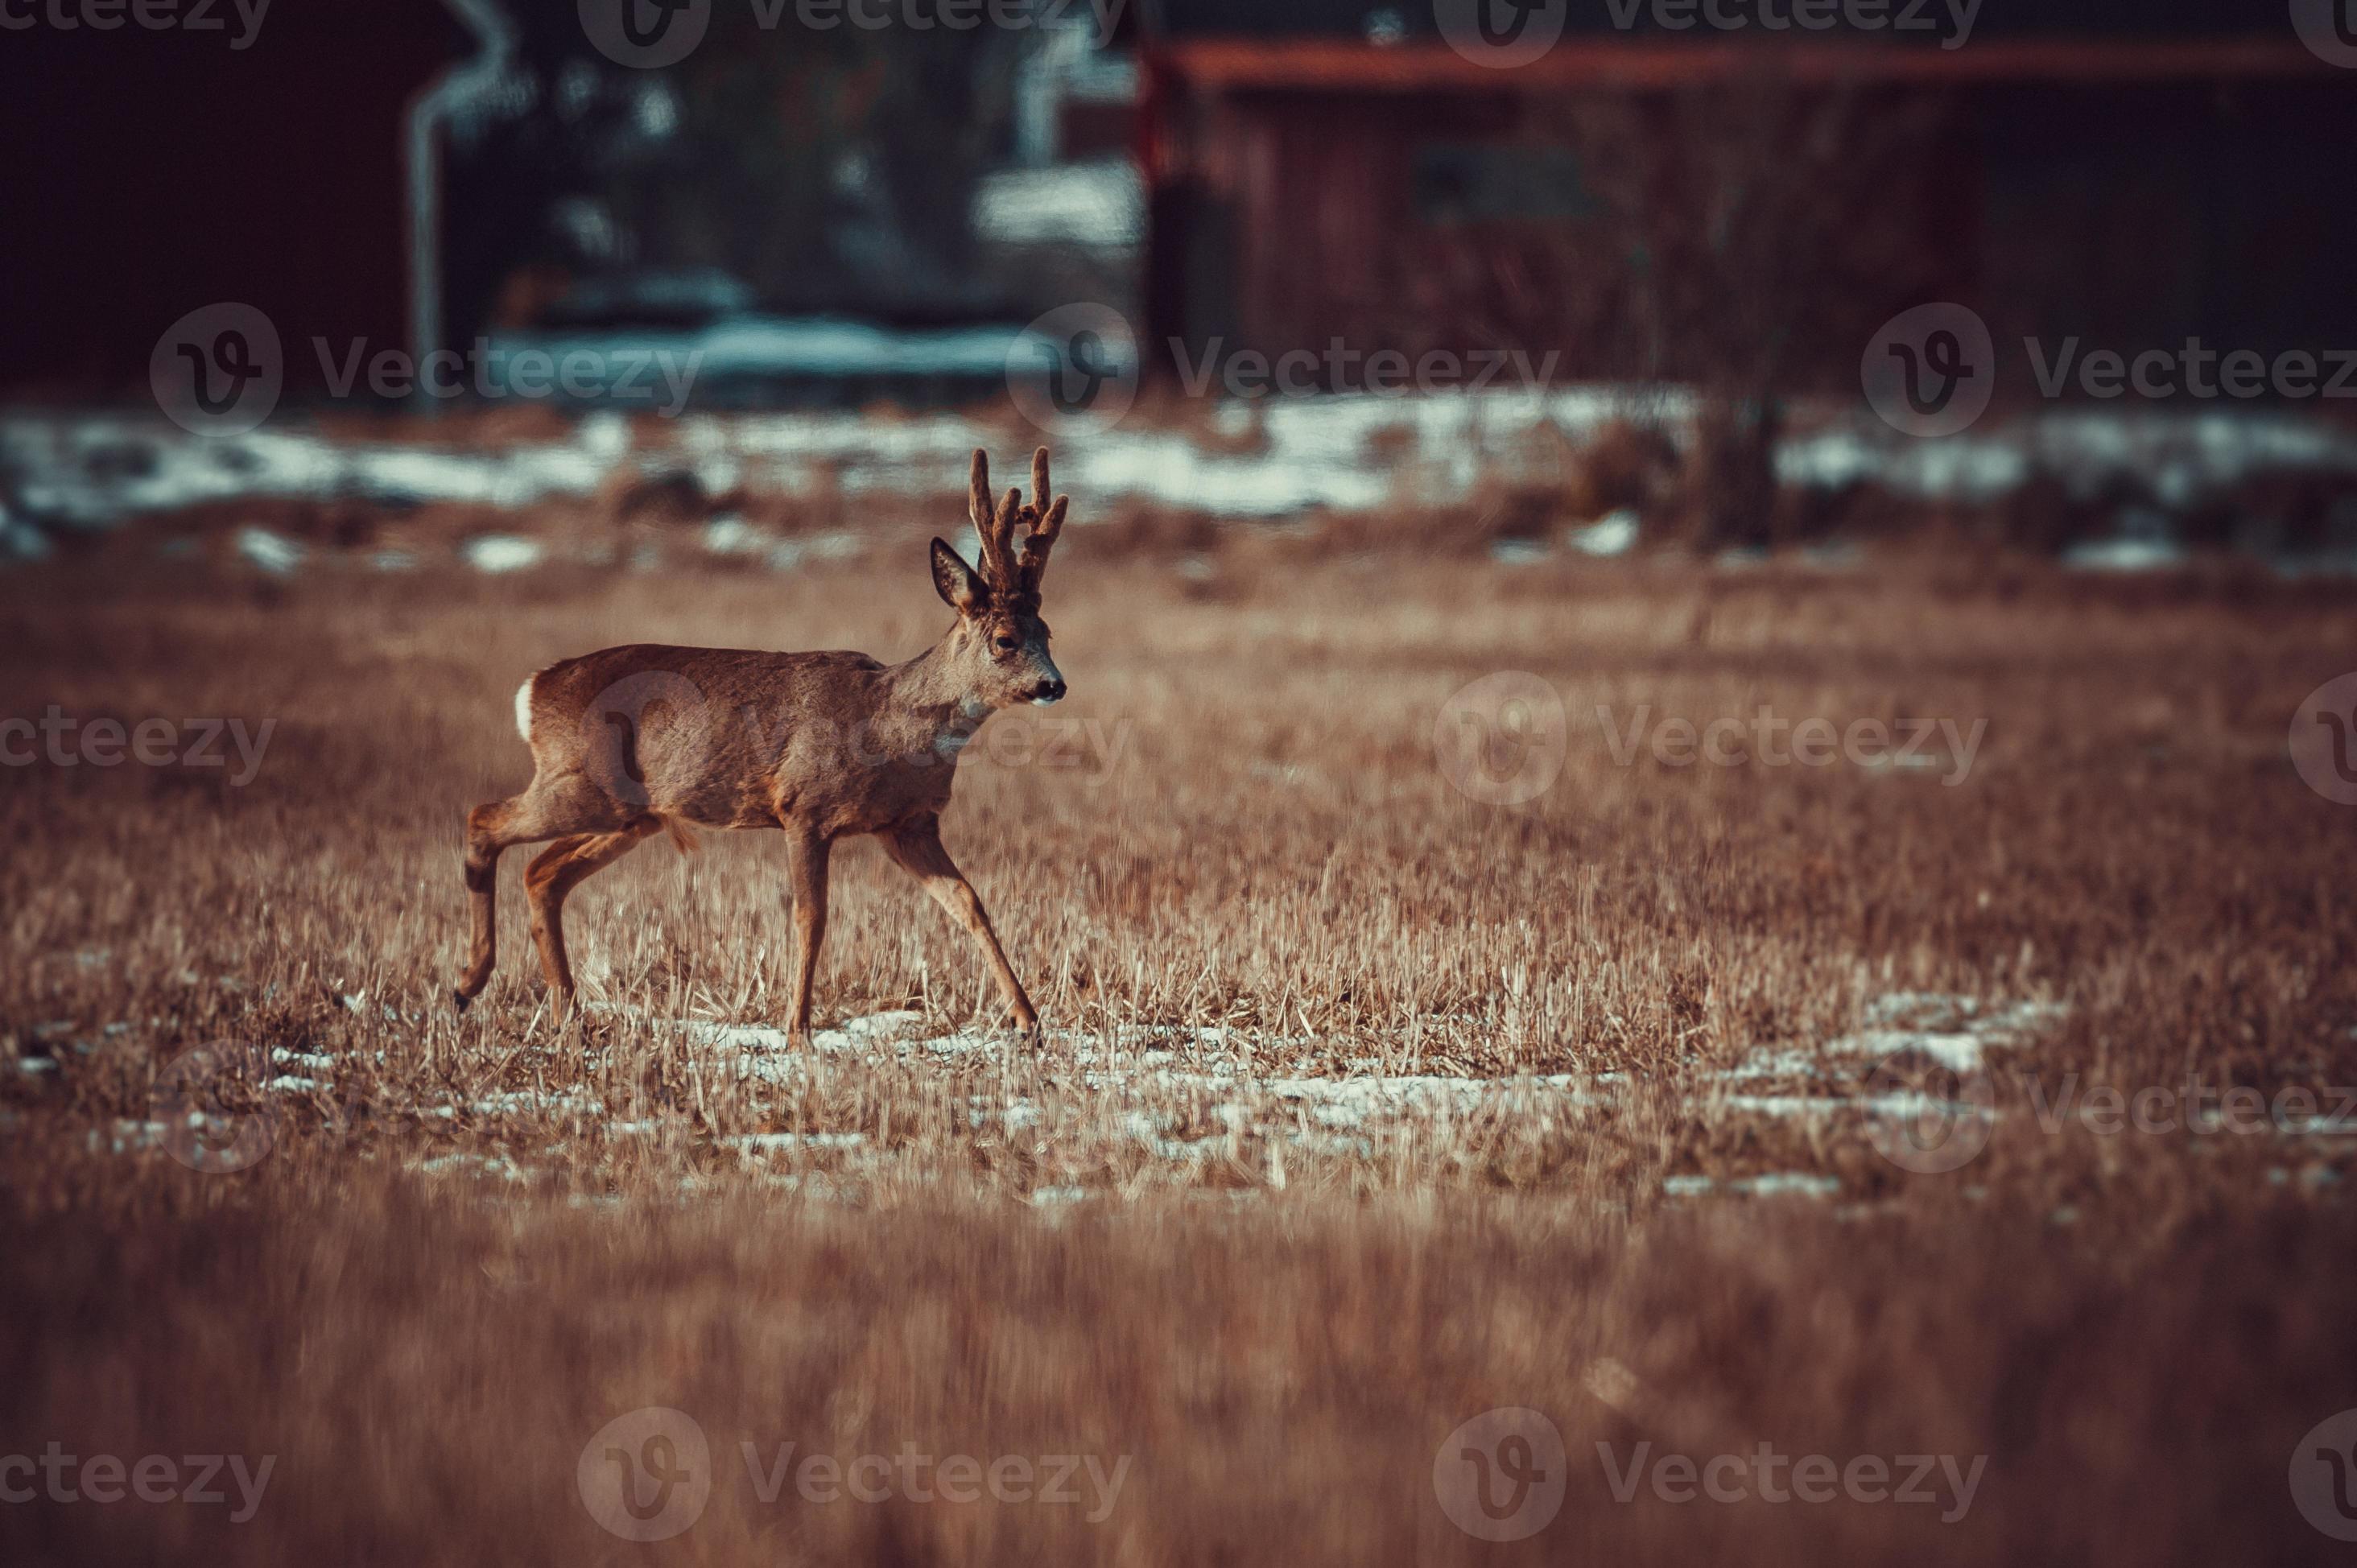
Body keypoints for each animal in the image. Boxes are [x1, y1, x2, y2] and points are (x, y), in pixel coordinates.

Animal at [453, 446, 1070, 1047]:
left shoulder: (908, 824)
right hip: (581, 784)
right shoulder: (805, 809)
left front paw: (1029, 1022)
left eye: (1047, 633)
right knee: (483, 818)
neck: (891, 725)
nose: (1054, 685)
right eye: (1005, 640)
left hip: (631, 813)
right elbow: (811, 918)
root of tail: (534, 689)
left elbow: (970, 904)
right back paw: (469, 981)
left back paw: (567, 1018)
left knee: (542, 874)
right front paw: (798, 1032)